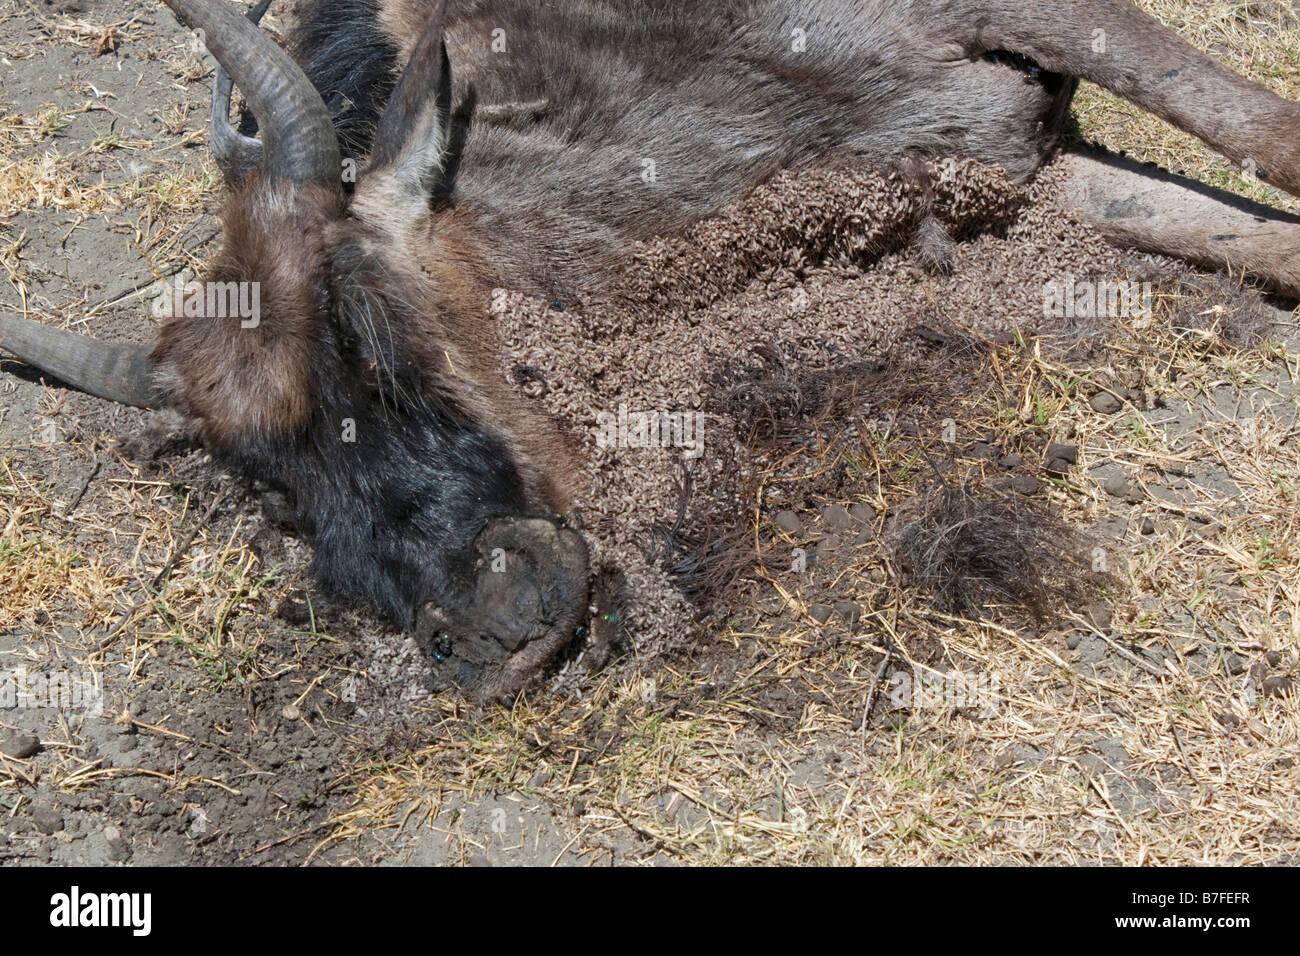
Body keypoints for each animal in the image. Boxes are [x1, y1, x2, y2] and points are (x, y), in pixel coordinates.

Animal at [2, 0, 1298, 700]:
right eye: (271, 487)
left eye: (359, 318)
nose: (484, 633)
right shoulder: (1018, 172)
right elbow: (1251, 230)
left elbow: (1264, 132)